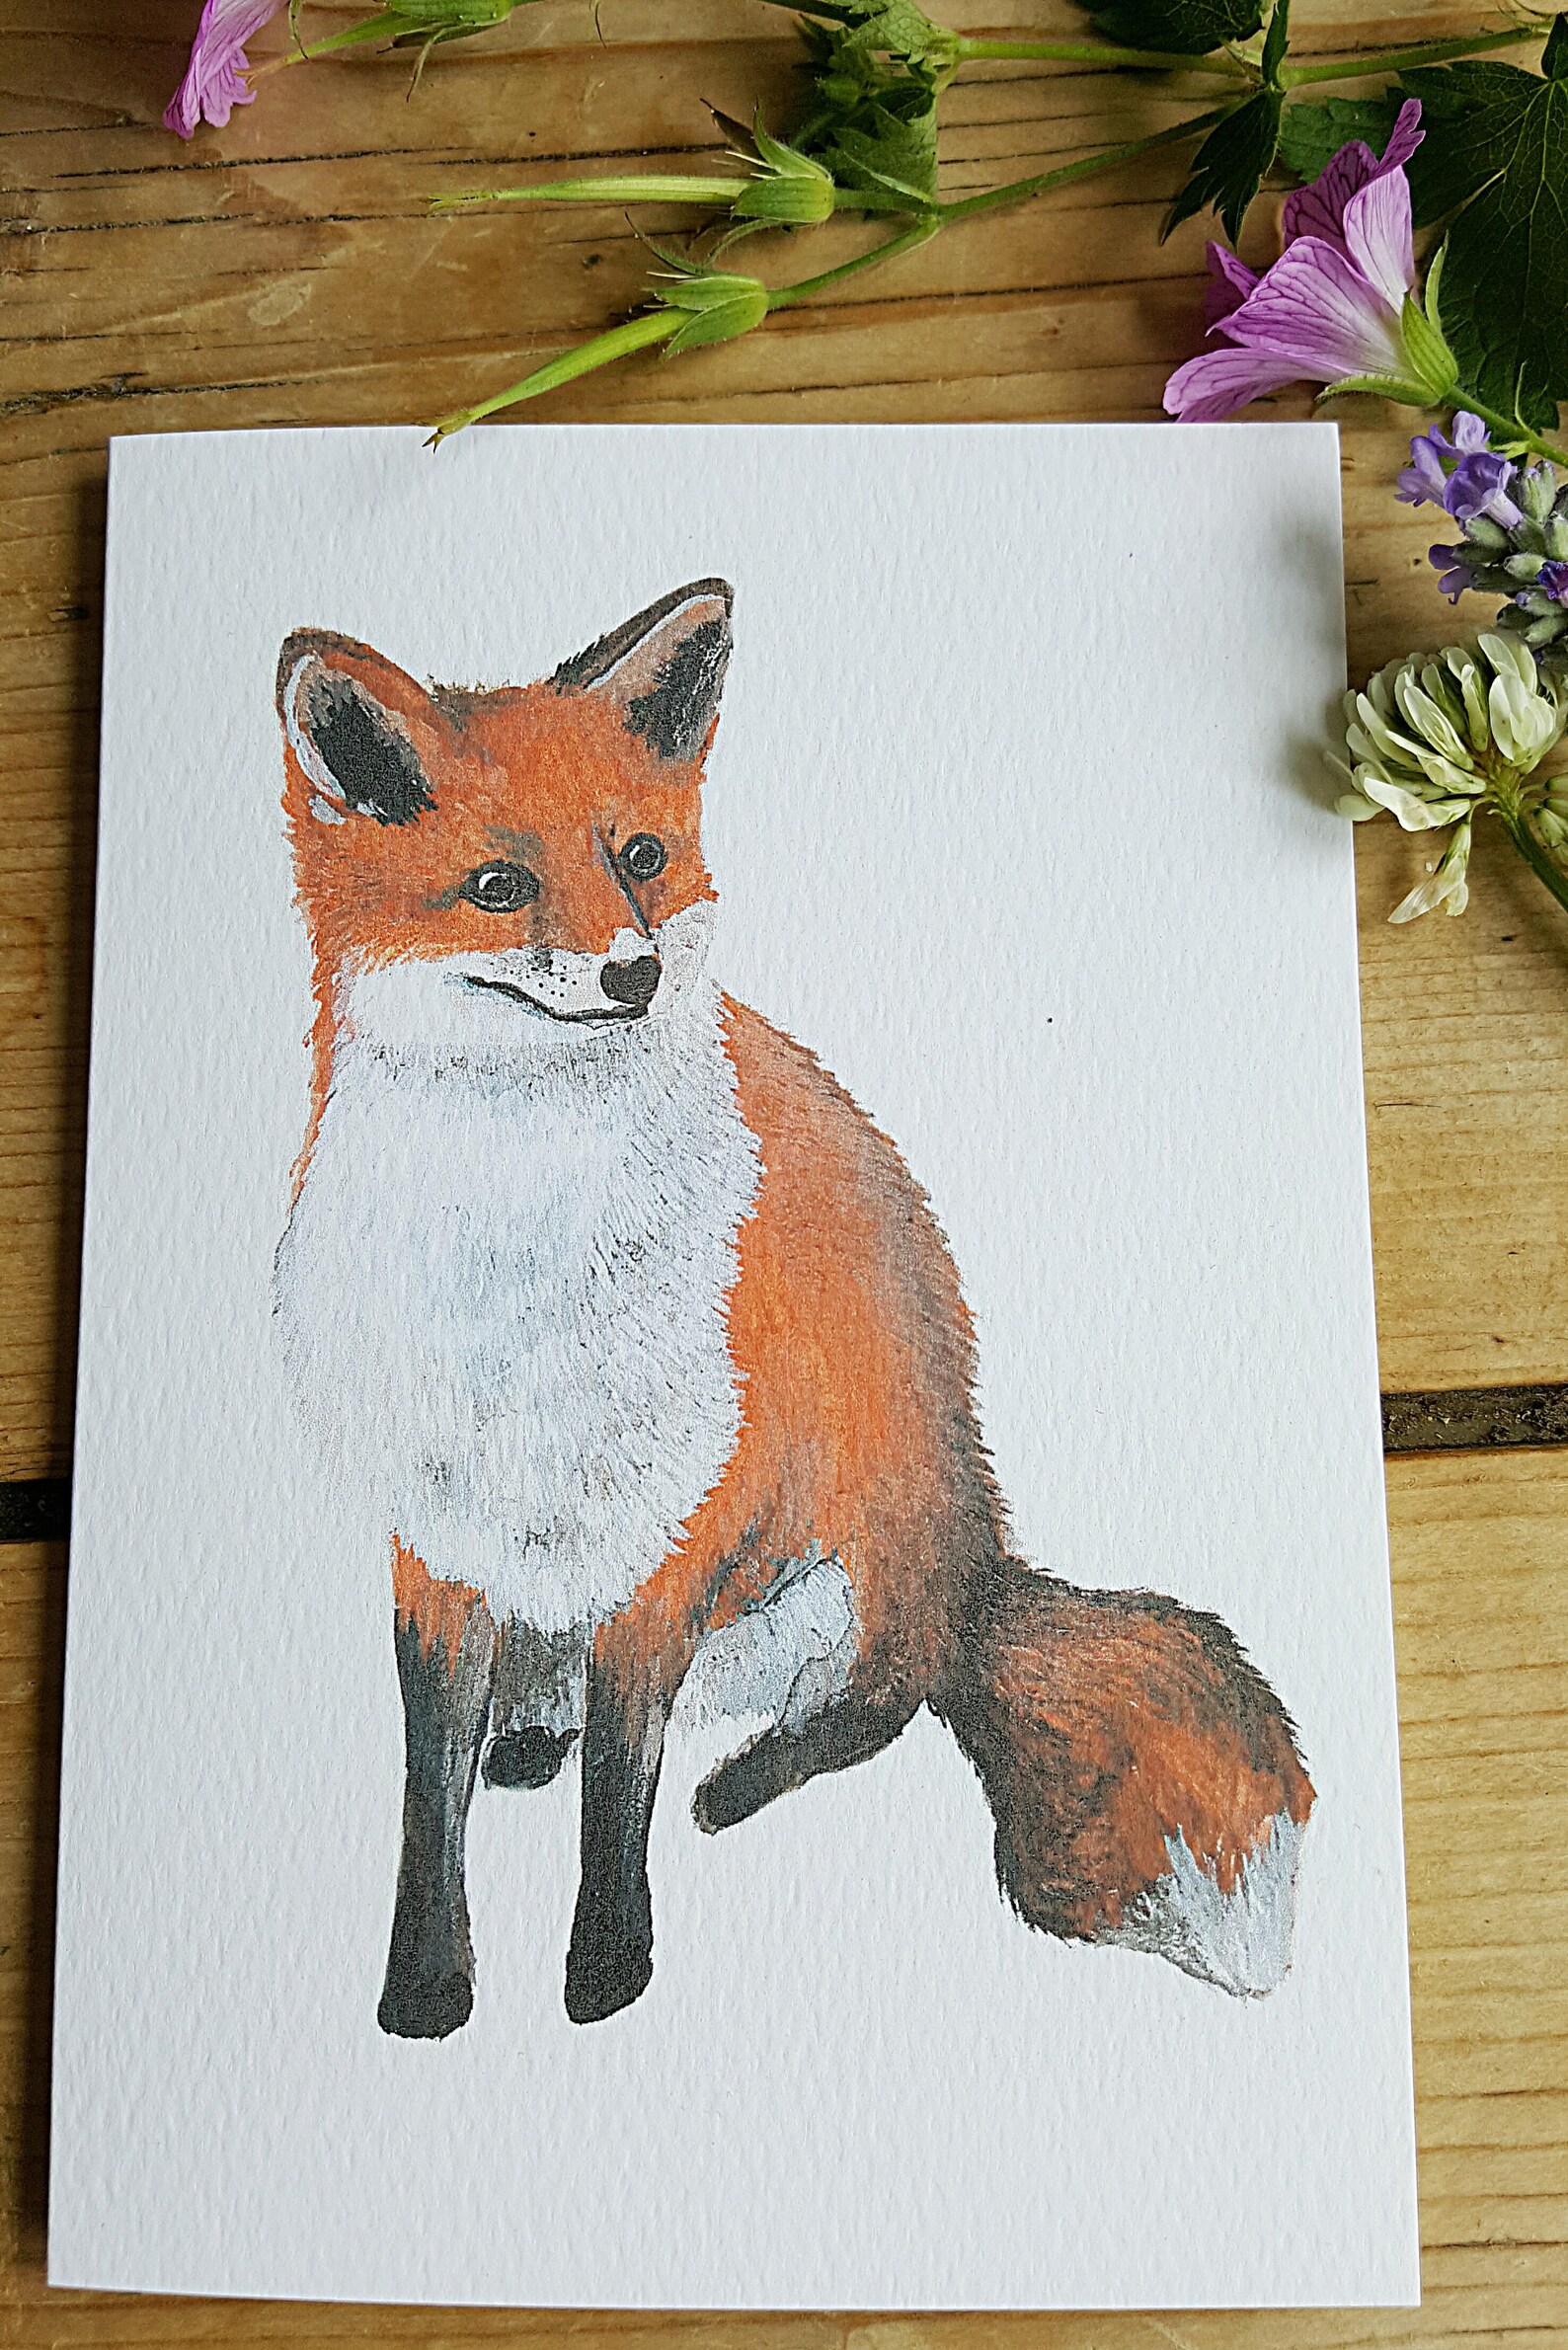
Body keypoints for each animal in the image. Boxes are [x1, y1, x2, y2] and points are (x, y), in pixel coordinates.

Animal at [273, 578, 1314, 2039]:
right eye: (499, 887)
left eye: (642, 857)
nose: (634, 976)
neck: (517, 1275)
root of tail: (980, 1558)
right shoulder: (435, 1534)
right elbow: (433, 1785)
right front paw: (425, 1984)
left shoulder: (676, 1529)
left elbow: (622, 1791)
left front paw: (607, 1969)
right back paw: (533, 1735)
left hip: (854, 1575)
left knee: (880, 1701)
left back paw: (736, 1781)